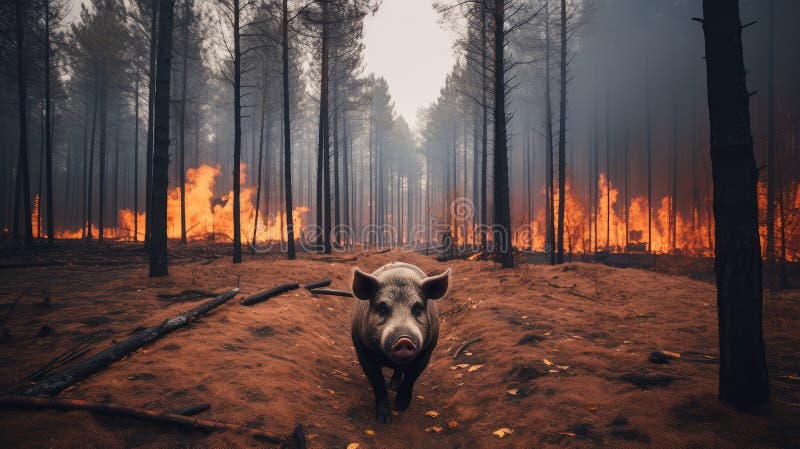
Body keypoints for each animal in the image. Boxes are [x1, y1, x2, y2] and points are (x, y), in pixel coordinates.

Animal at [351, 262, 451, 423]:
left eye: (417, 308)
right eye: (382, 309)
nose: (404, 339)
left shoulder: (426, 352)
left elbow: (411, 379)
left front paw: (400, 408)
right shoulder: (362, 351)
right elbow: (378, 383)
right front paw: (384, 421)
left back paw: (394, 387)